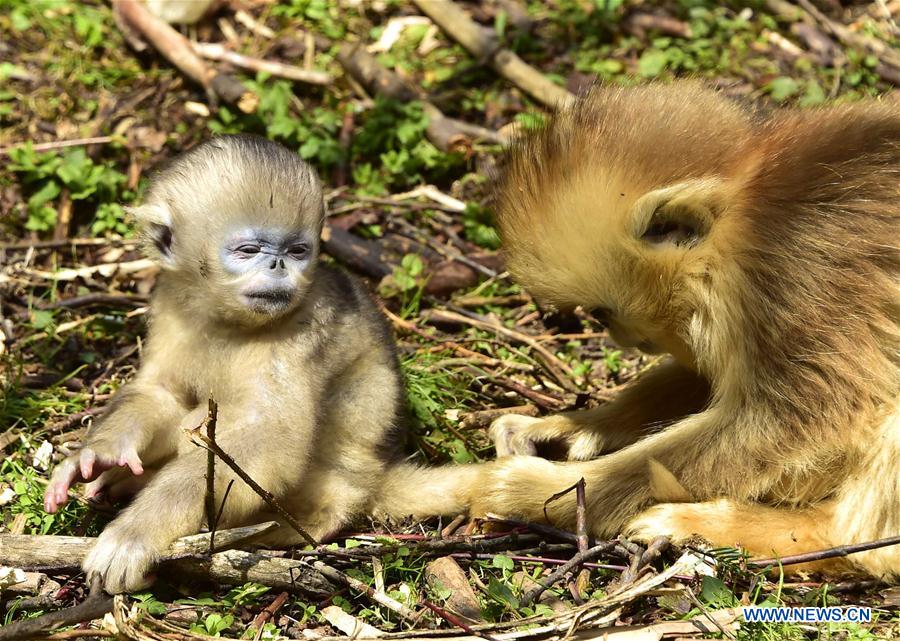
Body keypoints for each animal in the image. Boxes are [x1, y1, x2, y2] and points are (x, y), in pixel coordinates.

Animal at [43, 135, 481, 594]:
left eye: (297, 250)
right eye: (249, 251)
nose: (278, 264)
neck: (225, 319)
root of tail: (377, 475)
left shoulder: (303, 327)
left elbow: (270, 437)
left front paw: (136, 533)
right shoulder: (169, 302)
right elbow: (163, 393)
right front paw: (99, 455)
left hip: (336, 481)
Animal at [472, 82, 899, 579]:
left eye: (601, 313)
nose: (621, 339)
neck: (747, 214)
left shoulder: (798, 275)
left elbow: (796, 421)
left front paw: (531, 490)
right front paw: (569, 430)